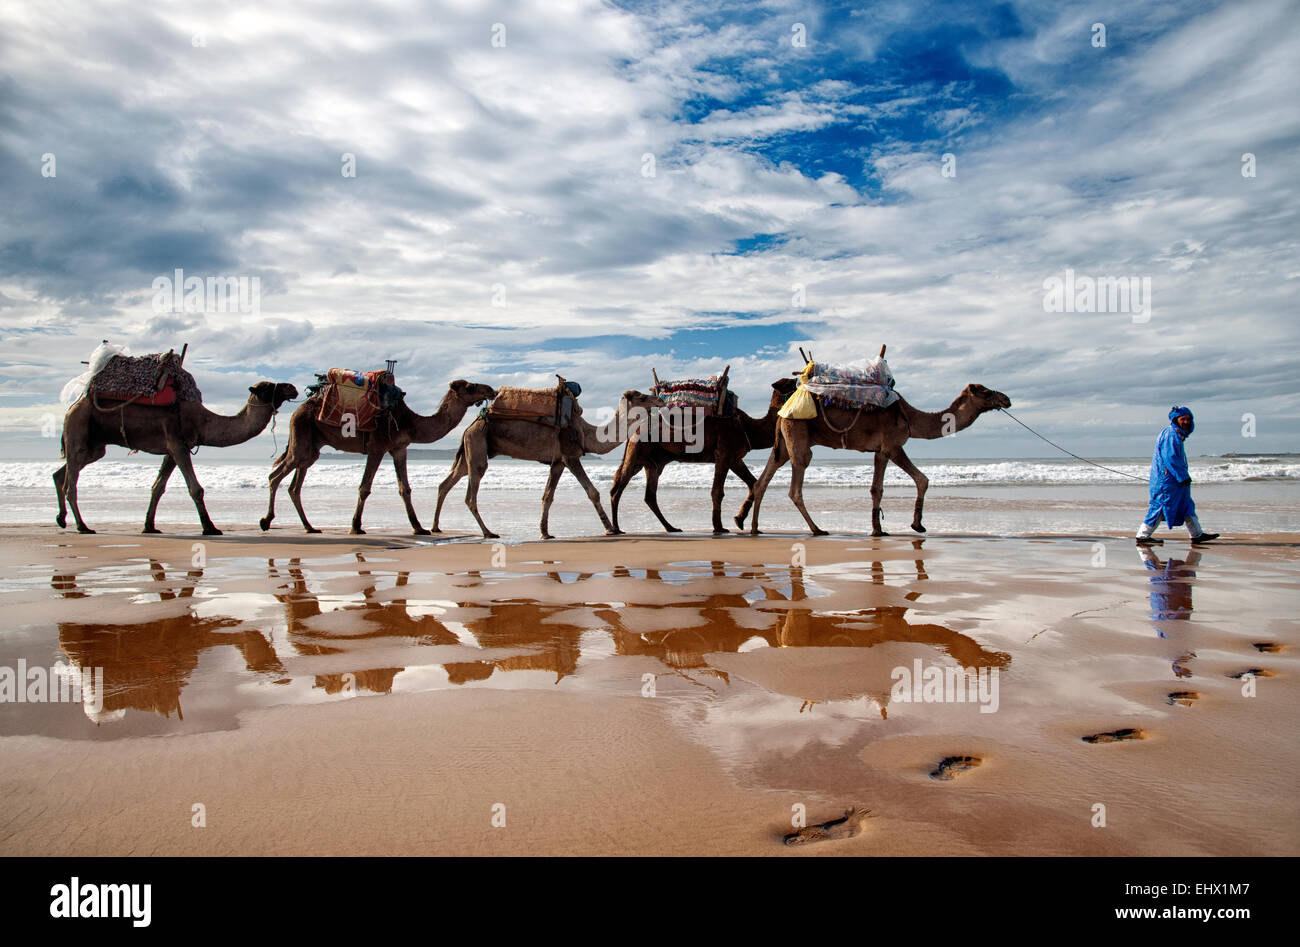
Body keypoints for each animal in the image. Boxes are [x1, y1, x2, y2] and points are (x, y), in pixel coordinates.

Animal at [55, 381, 299, 535]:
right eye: (268, 387)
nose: (292, 388)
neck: (203, 421)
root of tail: (71, 408)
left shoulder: (172, 450)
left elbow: (158, 487)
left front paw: (149, 526)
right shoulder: (178, 444)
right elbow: (195, 489)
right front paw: (210, 528)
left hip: (94, 446)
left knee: (61, 473)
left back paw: (62, 519)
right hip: (79, 429)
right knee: (70, 483)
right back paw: (83, 526)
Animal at [260, 379, 496, 535]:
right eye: (470, 387)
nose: (490, 390)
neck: (410, 422)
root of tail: (298, 409)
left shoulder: (400, 448)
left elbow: (405, 488)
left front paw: (419, 528)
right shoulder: (377, 447)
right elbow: (365, 487)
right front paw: (355, 527)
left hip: (312, 447)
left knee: (294, 485)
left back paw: (309, 527)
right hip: (301, 438)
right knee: (275, 476)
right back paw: (266, 521)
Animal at [433, 389, 663, 539]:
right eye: (642, 396)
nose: (659, 400)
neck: (586, 432)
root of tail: (469, 426)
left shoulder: (558, 462)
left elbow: (547, 496)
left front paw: (545, 532)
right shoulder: (570, 456)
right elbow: (592, 491)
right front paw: (610, 529)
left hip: (469, 451)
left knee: (446, 483)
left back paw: (436, 528)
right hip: (477, 445)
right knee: (470, 493)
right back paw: (488, 532)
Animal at [609, 377, 799, 534]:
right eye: (792, 383)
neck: (748, 427)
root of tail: (635, 426)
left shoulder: (735, 458)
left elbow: (753, 483)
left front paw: (739, 520)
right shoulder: (724, 454)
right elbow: (717, 491)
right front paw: (719, 527)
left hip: (653, 461)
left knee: (649, 495)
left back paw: (671, 527)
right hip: (637, 450)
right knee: (619, 486)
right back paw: (616, 529)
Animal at [748, 382, 1011, 537]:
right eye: (986, 391)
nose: (1006, 399)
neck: (910, 417)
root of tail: (782, 411)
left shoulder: (880, 451)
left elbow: (877, 488)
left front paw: (879, 529)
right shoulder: (892, 446)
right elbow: (921, 479)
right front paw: (915, 525)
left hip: (784, 442)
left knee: (764, 479)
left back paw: (754, 527)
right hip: (799, 434)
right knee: (796, 484)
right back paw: (817, 529)